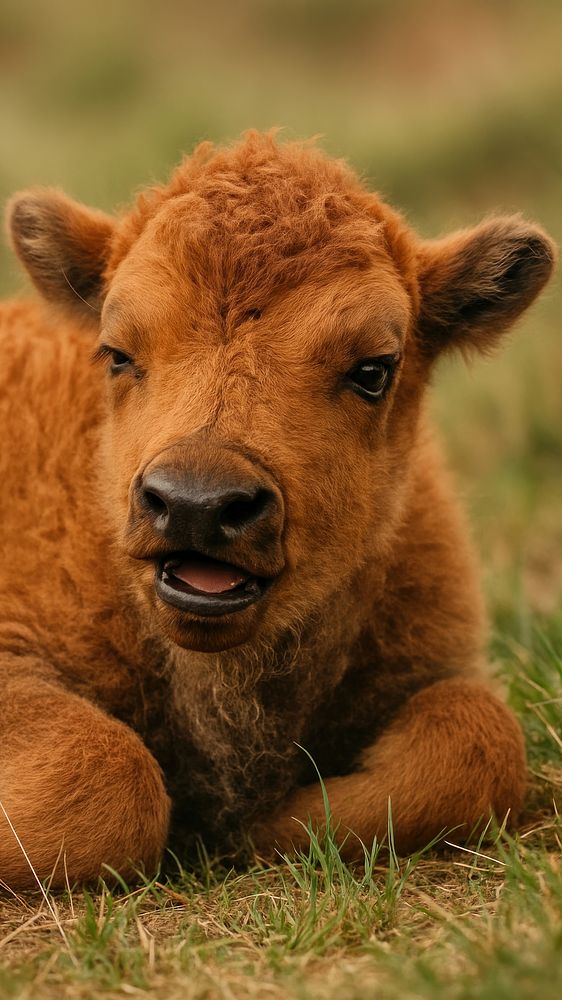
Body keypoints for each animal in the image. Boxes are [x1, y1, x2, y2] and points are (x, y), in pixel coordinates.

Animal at [0, 131, 555, 889]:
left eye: (373, 370)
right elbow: (108, 776)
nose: (195, 505)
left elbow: (482, 742)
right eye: (116, 355)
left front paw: (272, 827)